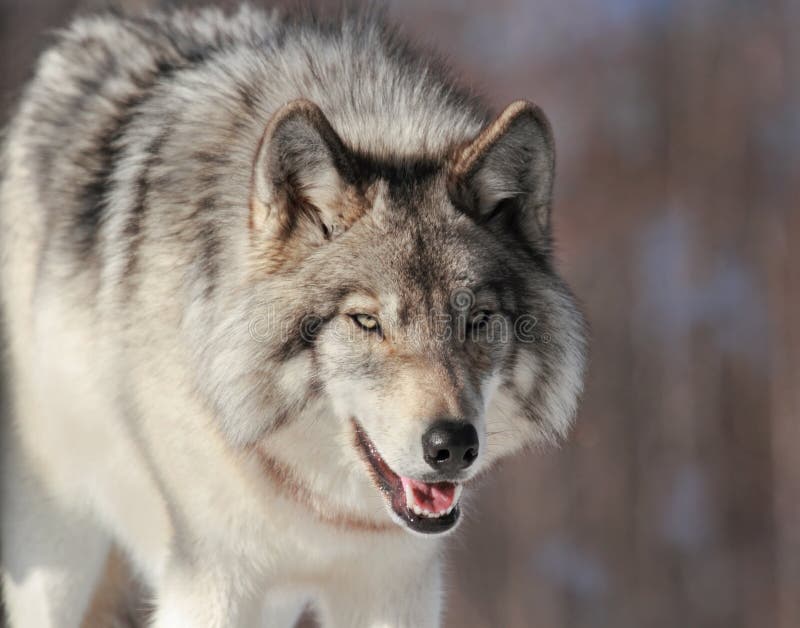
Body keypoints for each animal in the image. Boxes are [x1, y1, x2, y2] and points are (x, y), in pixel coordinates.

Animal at [0, 5, 587, 627]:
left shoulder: (394, 587)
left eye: (477, 319)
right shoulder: (212, 584)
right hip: (57, 557)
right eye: (366, 321)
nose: (452, 445)